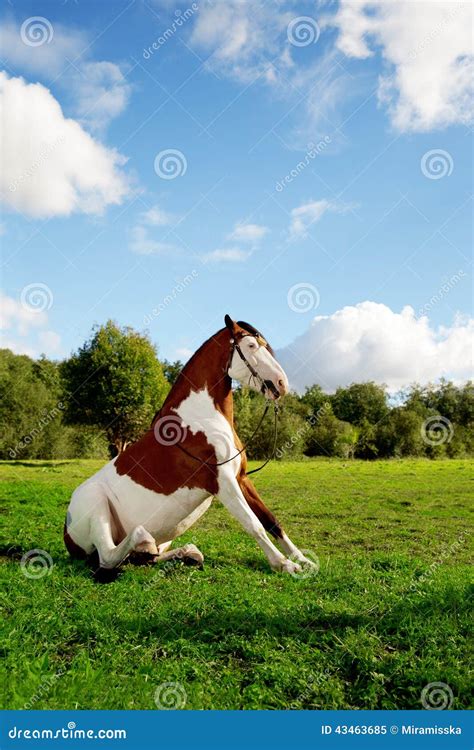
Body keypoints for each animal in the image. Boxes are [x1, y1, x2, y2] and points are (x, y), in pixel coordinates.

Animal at [64, 315, 316, 576]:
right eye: (251, 346)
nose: (281, 384)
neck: (201, 418)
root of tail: (68, 535)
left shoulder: (241, 478)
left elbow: (271, 520)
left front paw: (304, 560)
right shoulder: (223, 483)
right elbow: (253, 524)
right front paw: (284, 564)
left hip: (164, 538)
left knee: (148, 558)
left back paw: (188, 553)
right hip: (96, 505)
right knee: (109, 556)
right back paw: (145, 541)